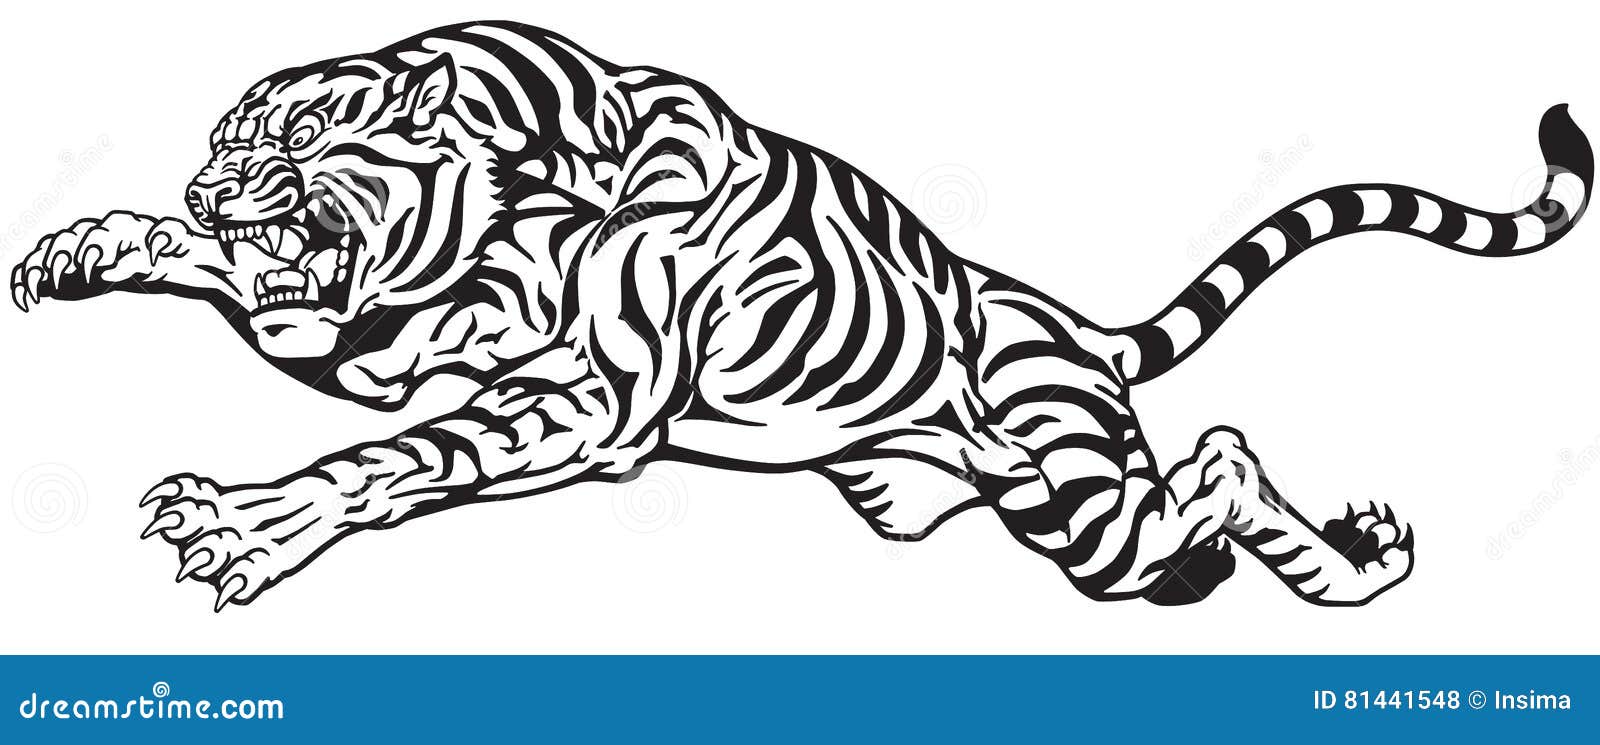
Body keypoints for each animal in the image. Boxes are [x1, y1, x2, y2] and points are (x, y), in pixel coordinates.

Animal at [10, 21, 1591, 611]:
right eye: (218, 144)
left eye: (303, 137)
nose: (209, 184)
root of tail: (1064, 319)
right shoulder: (388, 336)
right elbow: (262, 313)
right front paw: (94, 245)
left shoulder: (575, 406)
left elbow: (394, 460)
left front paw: (247, 527)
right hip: (1024, 513)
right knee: (1189, 529)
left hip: (1088, 503)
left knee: (1219, 461)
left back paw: (1357, 566)